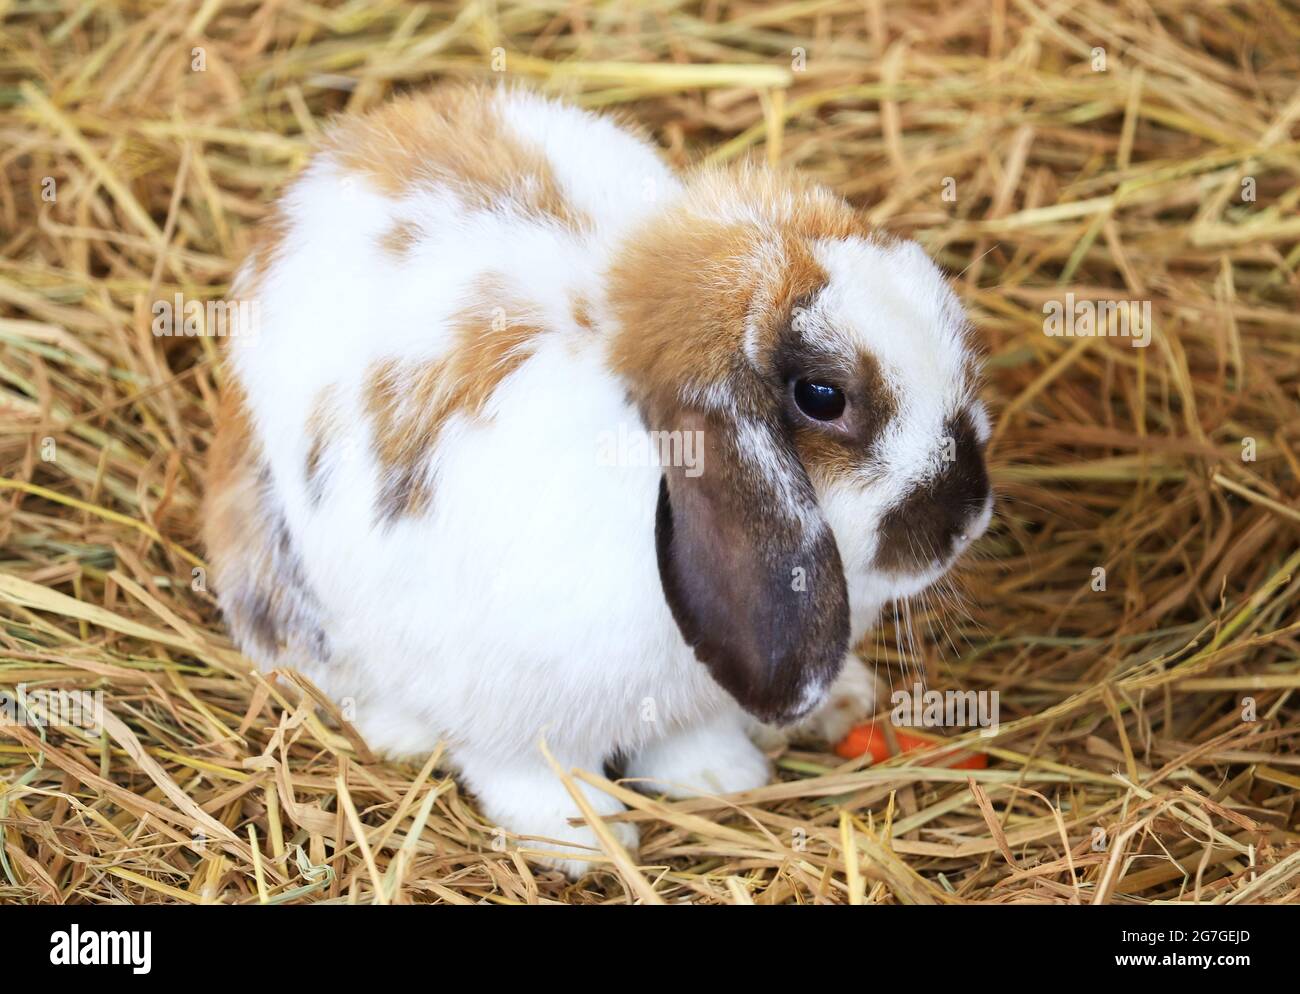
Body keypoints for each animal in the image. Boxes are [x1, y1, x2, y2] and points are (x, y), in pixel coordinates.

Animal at [204, 83, 993, 877]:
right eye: (822, 397)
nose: (967, 517)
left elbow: (690, 737)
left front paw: (719, 778)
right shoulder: (504, 713)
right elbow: (526, 773)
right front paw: (585, 842)